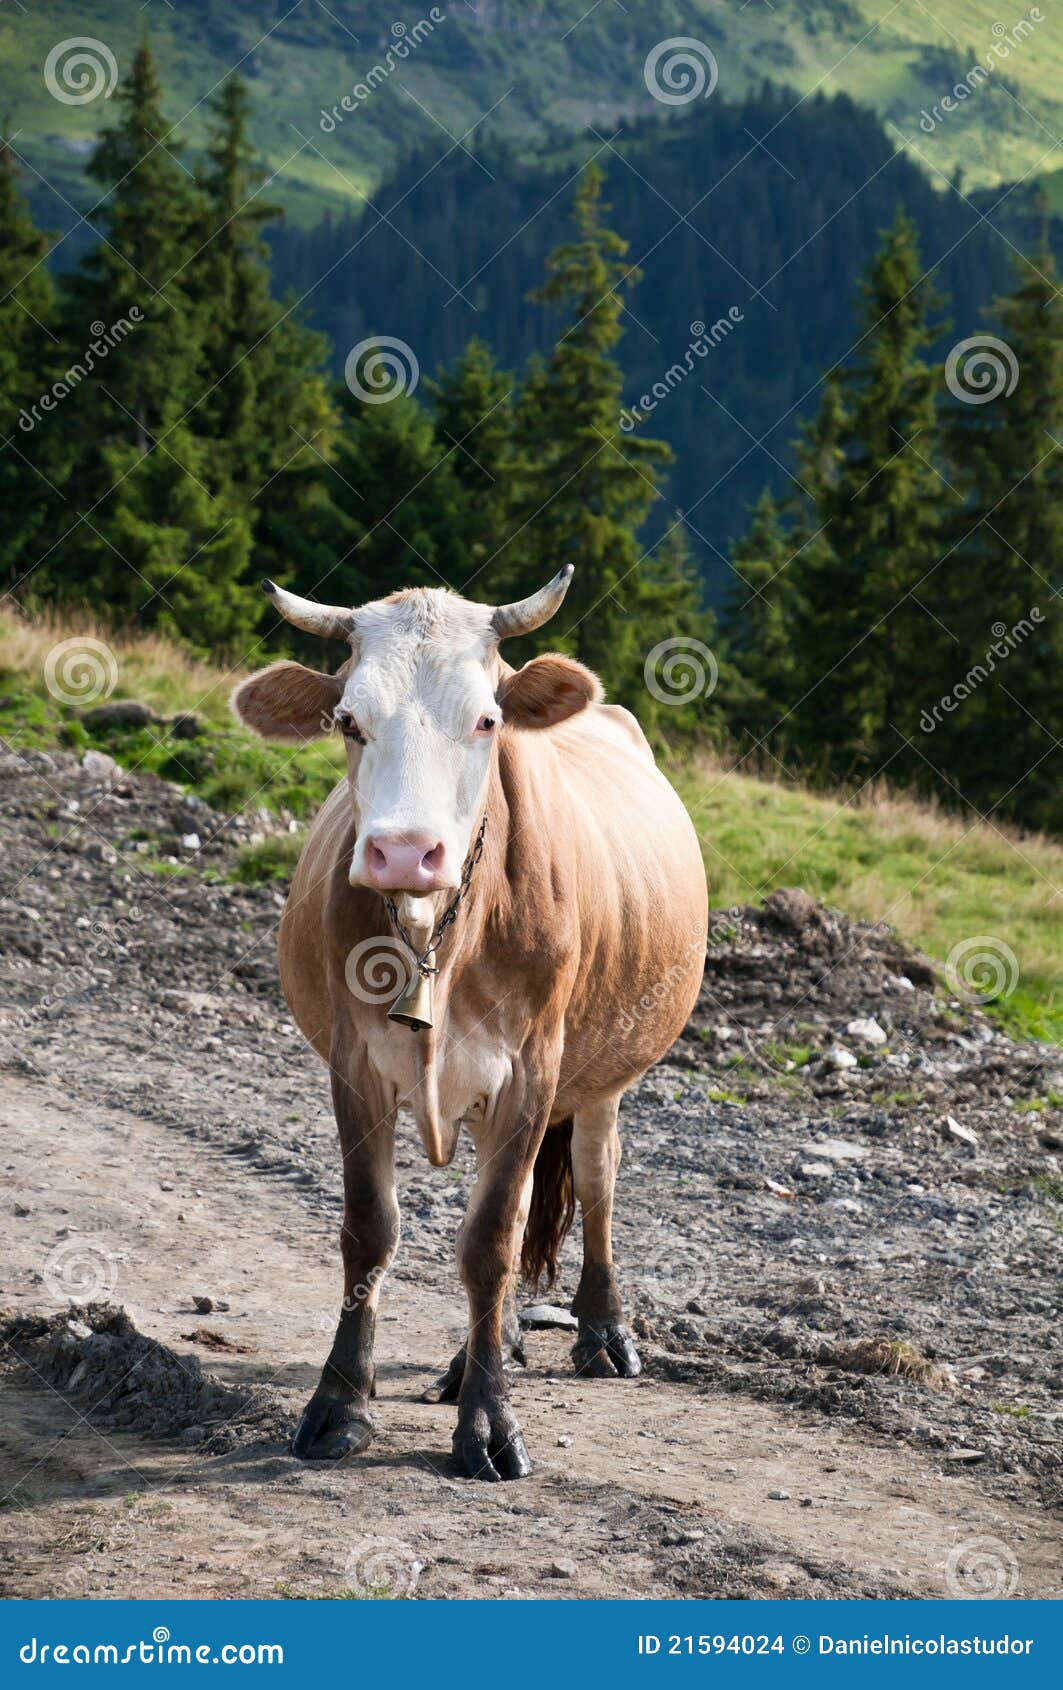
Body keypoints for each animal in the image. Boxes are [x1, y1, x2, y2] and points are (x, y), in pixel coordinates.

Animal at [232, 568, 707, 1480]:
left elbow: (489, 1240)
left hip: (603, 1074)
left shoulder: (530, 1072)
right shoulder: (353, 1064)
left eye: (485, 719)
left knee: (593, 1178)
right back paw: (482, 1352)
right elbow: (370, 1229)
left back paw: (601, 1331)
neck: (435, 936)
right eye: (349, 720)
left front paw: (488, 1424)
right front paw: (339, 1403)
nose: (403, 853)